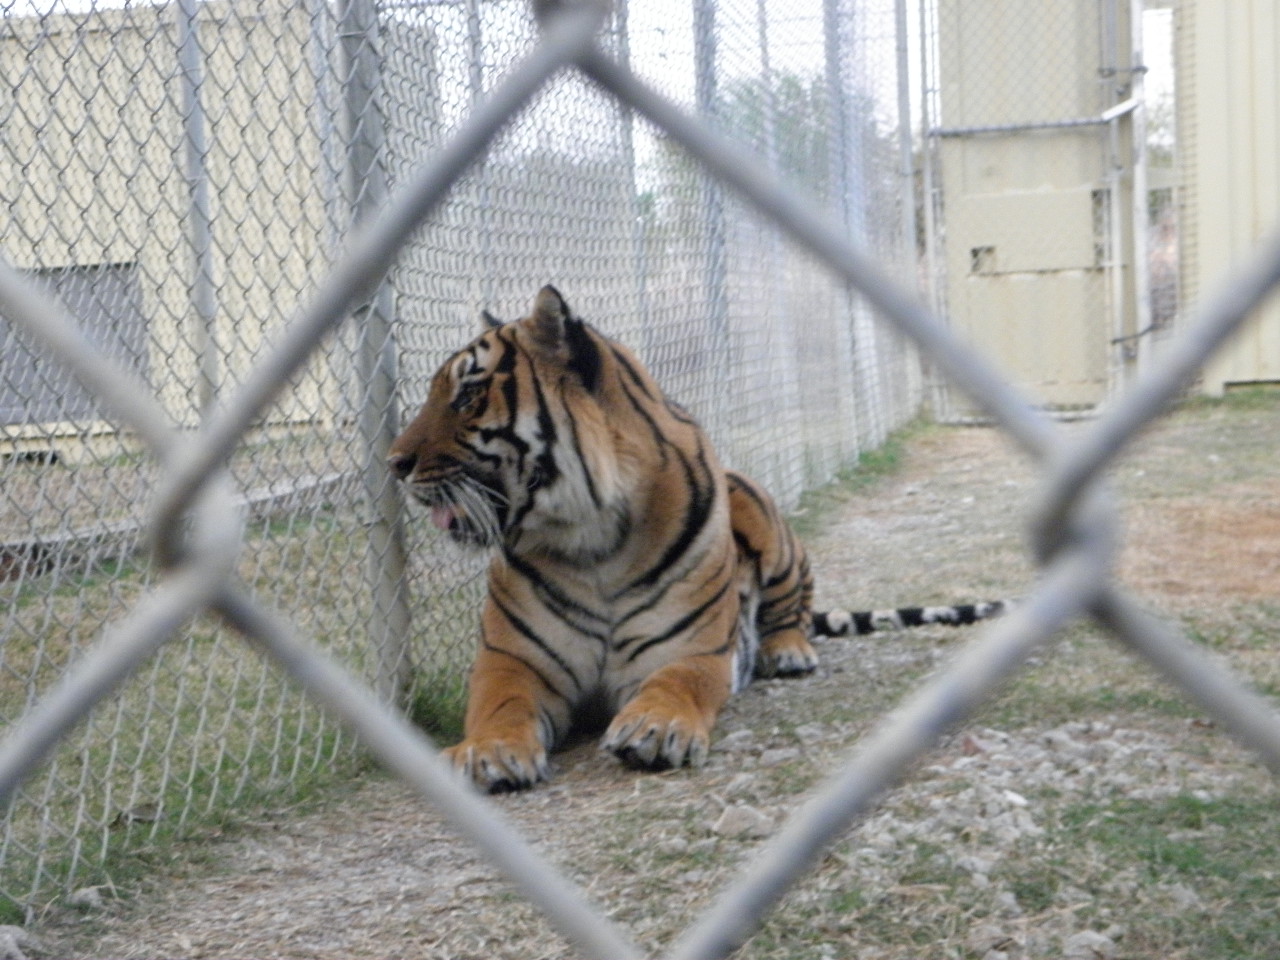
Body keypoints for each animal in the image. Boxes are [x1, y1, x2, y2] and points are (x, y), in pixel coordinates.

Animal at [387, 285, 1007, 792]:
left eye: (468, 395)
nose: (393, 463)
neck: (588, 542)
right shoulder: (512, 661)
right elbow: (500, 706)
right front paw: (487, 753)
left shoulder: (691, 650)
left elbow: (674, 684)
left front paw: (656, 729)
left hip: (765, 518)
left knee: (794, 609)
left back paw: (788, 652)